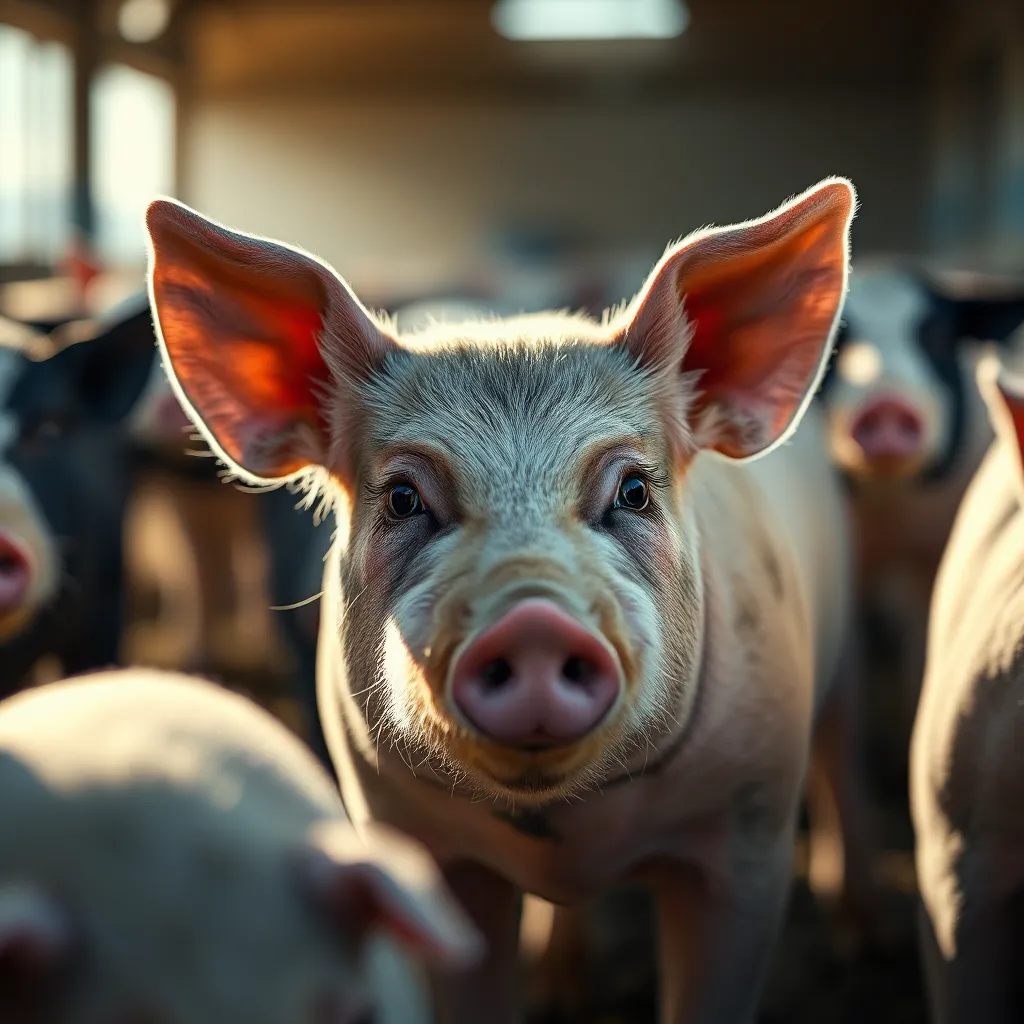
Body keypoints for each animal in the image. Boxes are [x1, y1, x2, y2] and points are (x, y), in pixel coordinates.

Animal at [143, 177, 875, 1024]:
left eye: (632, 490)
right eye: (402, 498)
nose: (532, 619)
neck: (563, 836)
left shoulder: (748, 834)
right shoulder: (413, 839)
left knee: (843, 744)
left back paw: (859, 930)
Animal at [818, 265, 1024, 787]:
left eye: (935, 336)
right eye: (838, 338)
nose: (887, 401)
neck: (891, 511)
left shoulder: (931, 558)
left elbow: (920, 660)